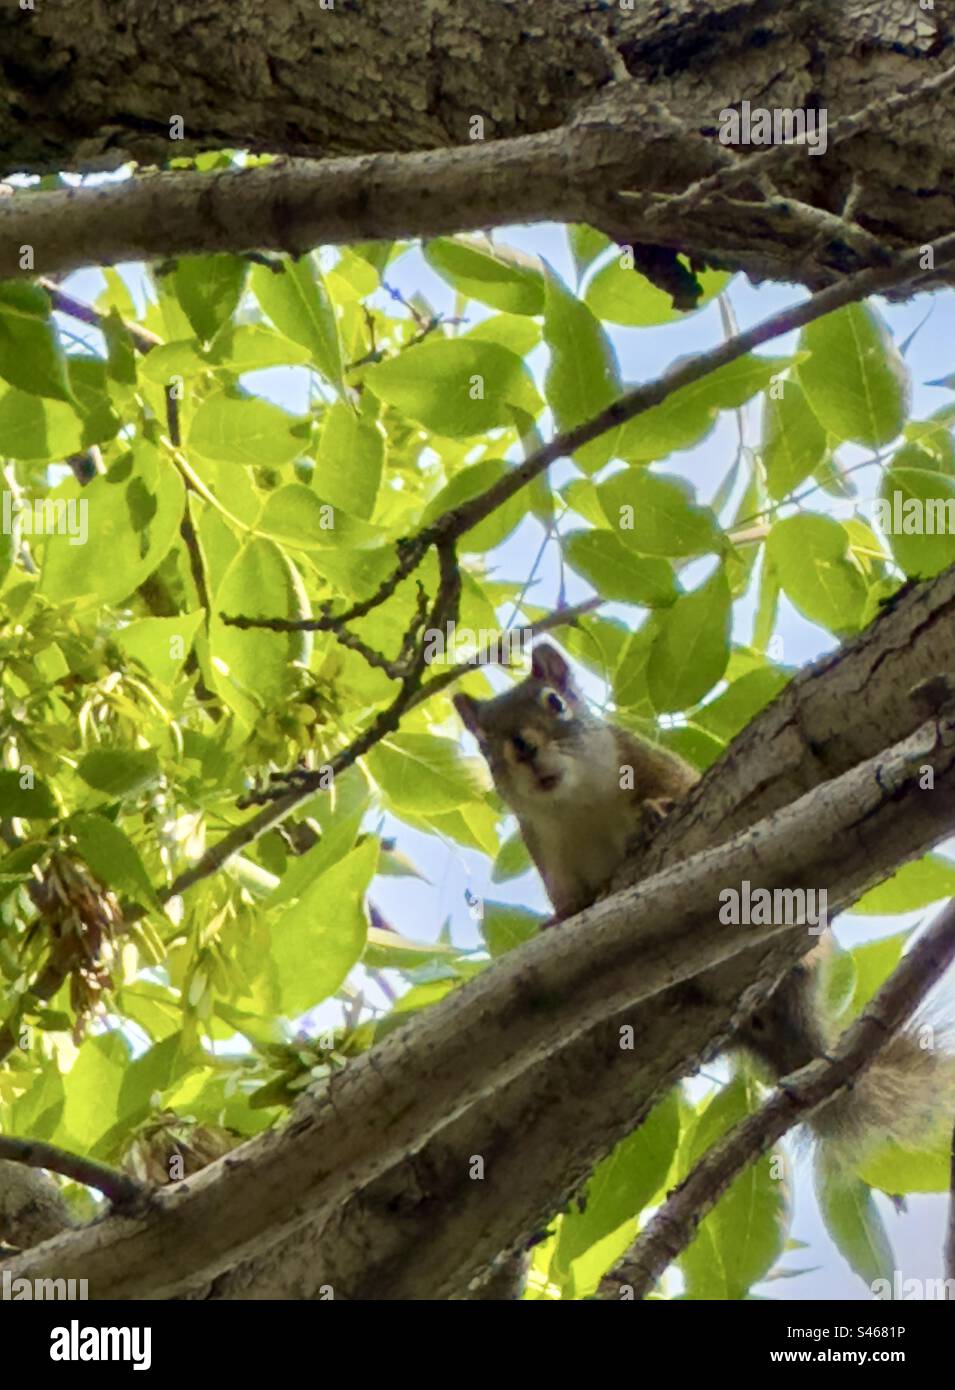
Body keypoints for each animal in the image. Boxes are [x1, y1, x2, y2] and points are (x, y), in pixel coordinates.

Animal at [455, 640, 955, 1162]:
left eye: (554, 702)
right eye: (485, 744)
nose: (523, 748)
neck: (573, 804)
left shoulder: (651, 763)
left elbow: (674, 792)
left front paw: (656, 813)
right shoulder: (552, 860)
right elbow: (572, 903)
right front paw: (559, 920)